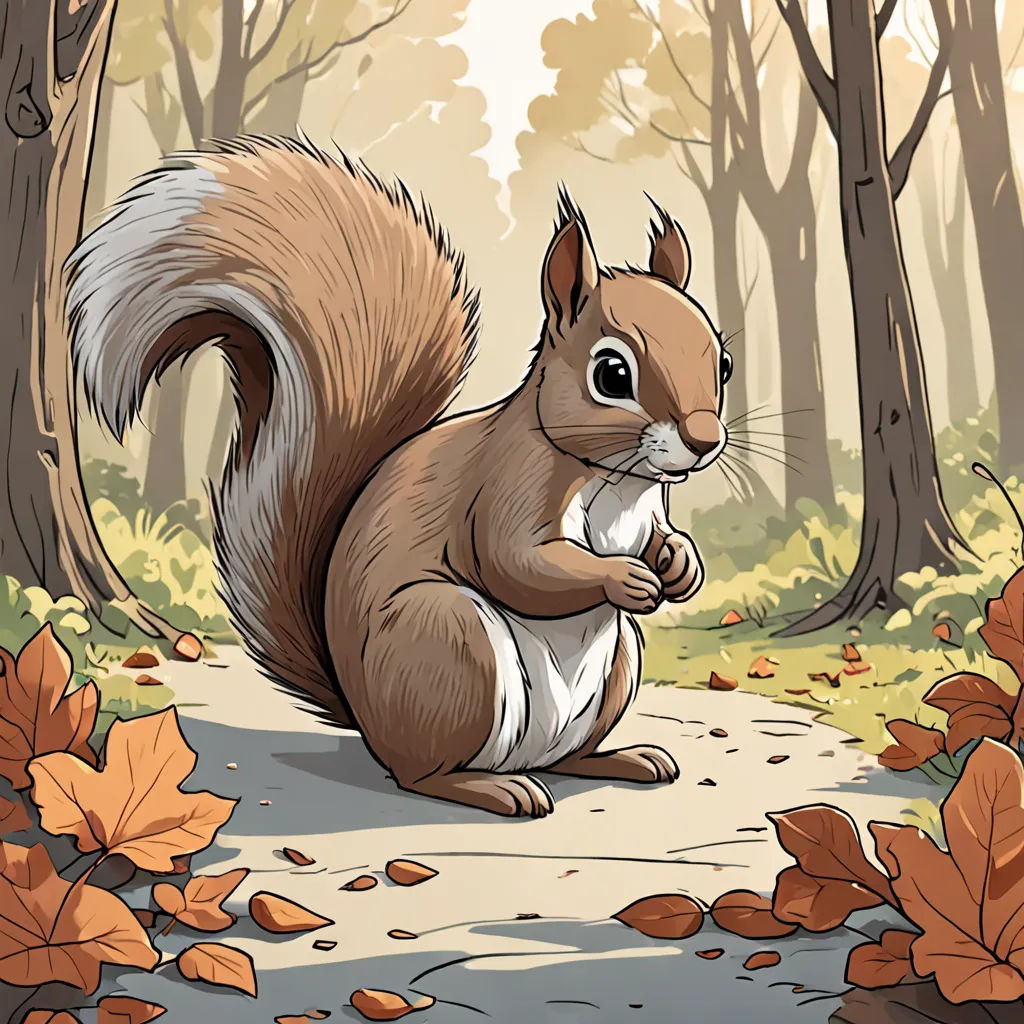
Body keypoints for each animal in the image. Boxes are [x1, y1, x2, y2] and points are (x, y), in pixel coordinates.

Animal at [67, 136, 732, 818]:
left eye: (724, 363)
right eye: (612, 374)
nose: (704, 441)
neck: (616, 482)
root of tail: (366, 718)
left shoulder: (647, 512)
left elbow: (659, 540)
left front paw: (680, 566)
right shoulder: (507, 485)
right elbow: (514, 563)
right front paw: (622, 578)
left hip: (615, 663)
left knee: (566, 756)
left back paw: (622, 758)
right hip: (446, 641)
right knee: (421, 774)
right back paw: (492, 787)